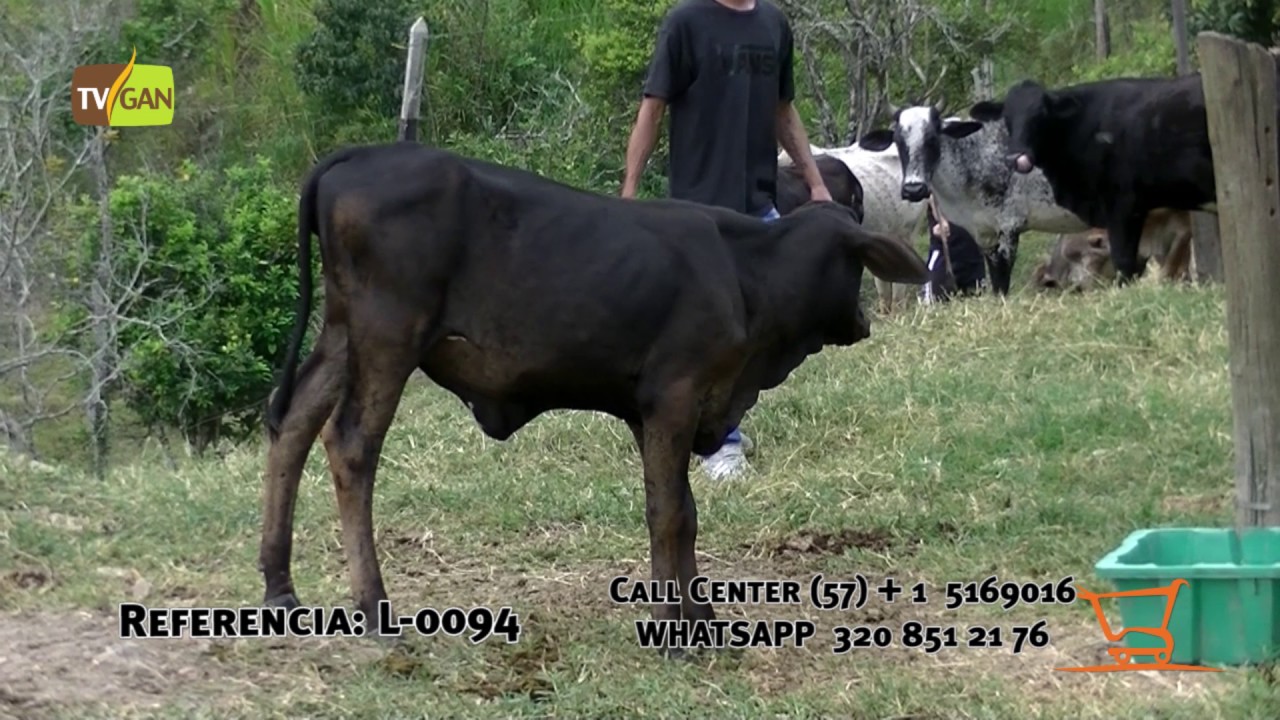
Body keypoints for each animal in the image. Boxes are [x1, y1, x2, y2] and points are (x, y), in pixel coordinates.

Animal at [855, 105, 1091, 296]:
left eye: (933, 137)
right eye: (897, 141)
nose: (914, 189)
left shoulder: (1008, 226)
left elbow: (1001, 280)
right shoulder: (985, 234)